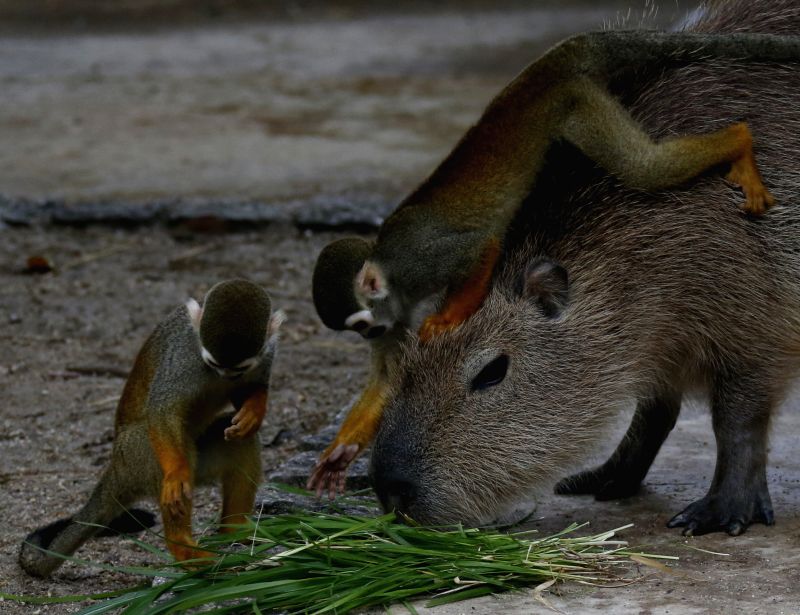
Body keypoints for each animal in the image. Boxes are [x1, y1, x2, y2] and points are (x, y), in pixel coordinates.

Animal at [19, 279, 285, 577]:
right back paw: (184, 547)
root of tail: (116, 469)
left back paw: (235, 532)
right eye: (213, 363)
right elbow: (162, 410)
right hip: (134, 457)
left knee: (239, 441)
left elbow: (247, 393)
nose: (225, 376)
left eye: (238, 369)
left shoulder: (267, 352)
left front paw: (254, 411)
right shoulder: (182, 357)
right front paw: (176, 473)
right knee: (155, 448)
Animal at [354, 31, 800, 342]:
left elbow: (483, 247)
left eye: (362, 318)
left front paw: (449, 317)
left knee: (642, 167)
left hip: (577, 102)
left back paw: (740, 140)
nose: (371, 331)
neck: (390, 265)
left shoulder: (422, 257)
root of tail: (542, 68)